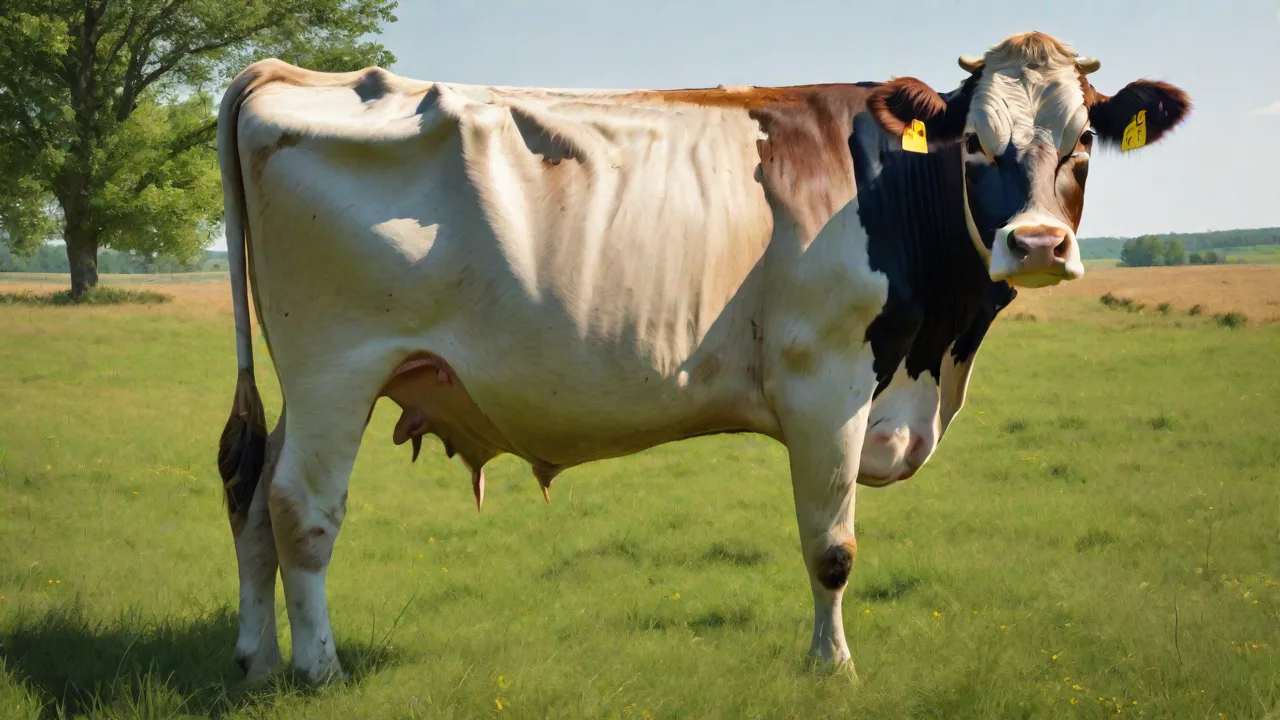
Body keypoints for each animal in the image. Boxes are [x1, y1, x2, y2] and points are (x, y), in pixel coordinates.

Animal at [215, 31, 1189, 682]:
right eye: (977, 141)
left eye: (1083, 141)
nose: (1037, 245)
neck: (935, 359)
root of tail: (287, 75)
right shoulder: (826, 380)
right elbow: (832, 547)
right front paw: (832, 667)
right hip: (337, 368)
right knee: (302, 509)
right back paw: (318, 670)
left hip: (310, 383)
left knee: (254, 494)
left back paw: (256, 658)